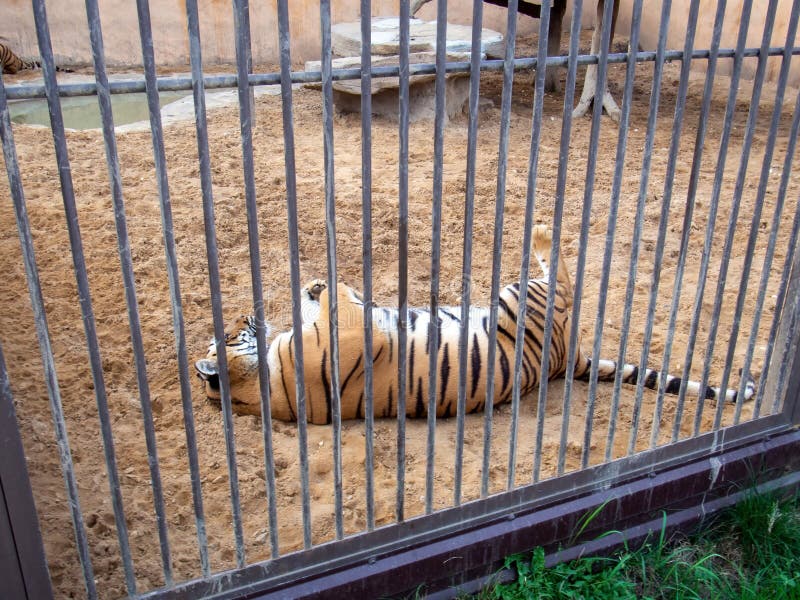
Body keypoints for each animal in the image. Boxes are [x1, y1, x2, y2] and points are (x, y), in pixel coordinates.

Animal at [195, 225, 755, 424]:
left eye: (230, 330)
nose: (245, 316)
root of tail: (570, 359)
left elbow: (326, 297)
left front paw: (310, 285)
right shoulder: (356, 328)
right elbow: (341, 298)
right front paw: (318, 285)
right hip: (518, 295)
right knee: (563, 278)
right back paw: (541, 229)